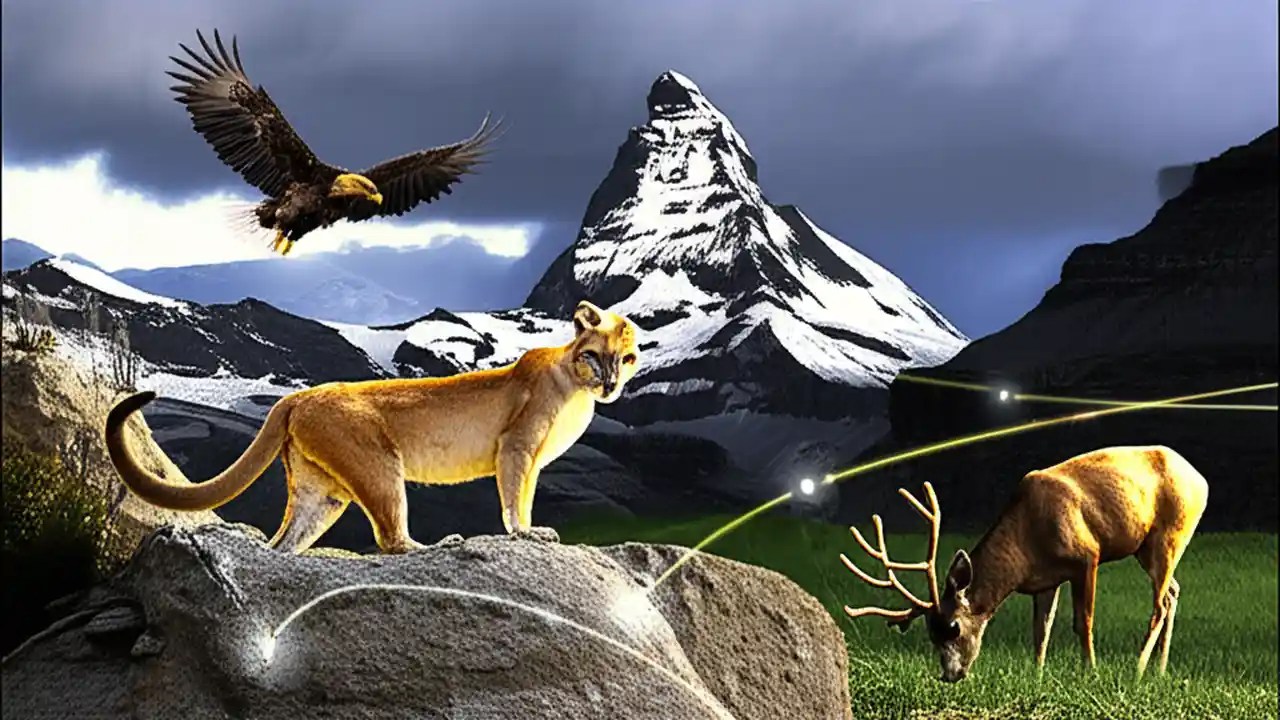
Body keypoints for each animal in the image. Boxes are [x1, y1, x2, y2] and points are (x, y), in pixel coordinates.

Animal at [841, 445, 1208, 683]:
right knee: (1172, 592)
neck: (1026, 546)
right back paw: (1159, 669)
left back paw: (1138, 669)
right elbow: (1040, 630)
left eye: (954, 627)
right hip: (1145, 548)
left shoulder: (1087, 555)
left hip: (1170, 534)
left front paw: (1089, 673)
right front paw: (1037, 674)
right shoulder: (1046, 580)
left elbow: (1083, 622)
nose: (949, 675)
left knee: (1159, 603)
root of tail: (1200, 480)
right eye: (931, 633)